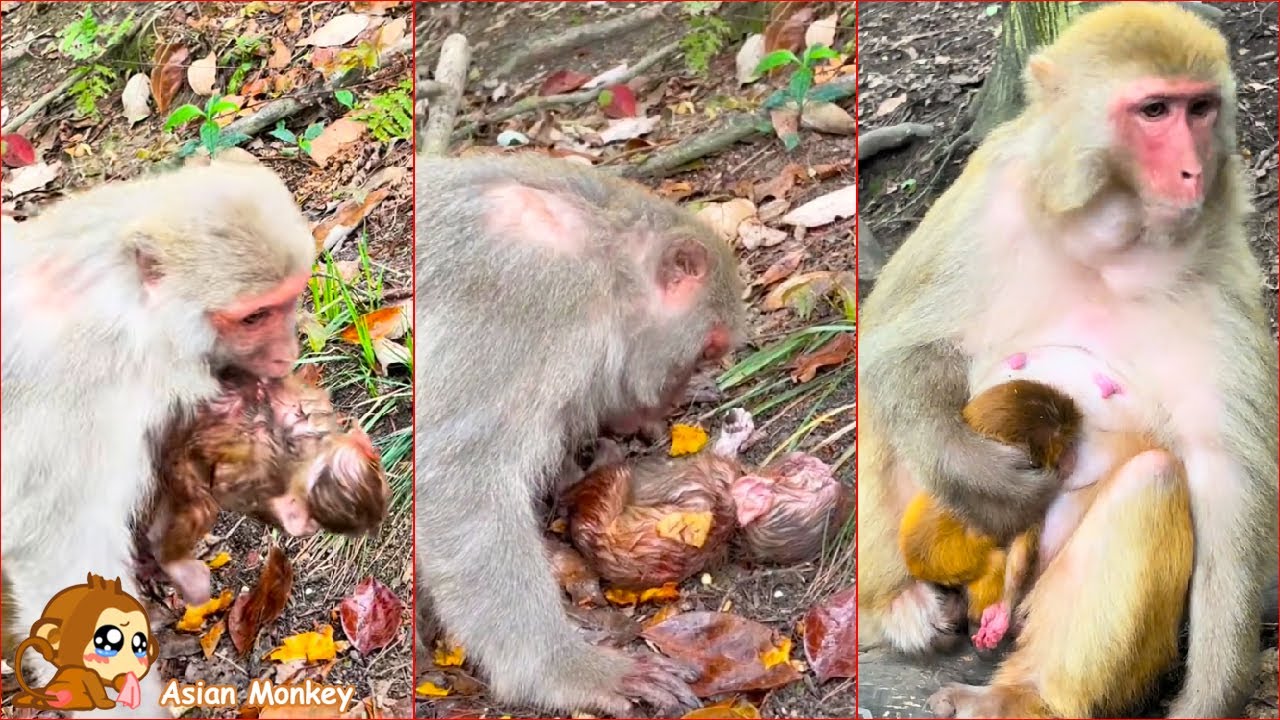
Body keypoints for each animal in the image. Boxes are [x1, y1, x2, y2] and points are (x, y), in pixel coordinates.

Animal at [416, 154, 746, 715]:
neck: (606, 261)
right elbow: (456, 478)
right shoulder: (536, 300)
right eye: (705, 349)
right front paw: (566, 670)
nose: (666, 403)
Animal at [856, 4, 1278, 717]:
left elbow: (1223, 480)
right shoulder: (987, 196)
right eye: (1155, 110)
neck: (1107, 239)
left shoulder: (1222, 271)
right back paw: (893, 603)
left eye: (1201, 109)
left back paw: (1026, 695)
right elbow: (893, 343)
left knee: (1155, 480)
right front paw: (985, 481)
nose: (1193, 172)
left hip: (1031, 599)